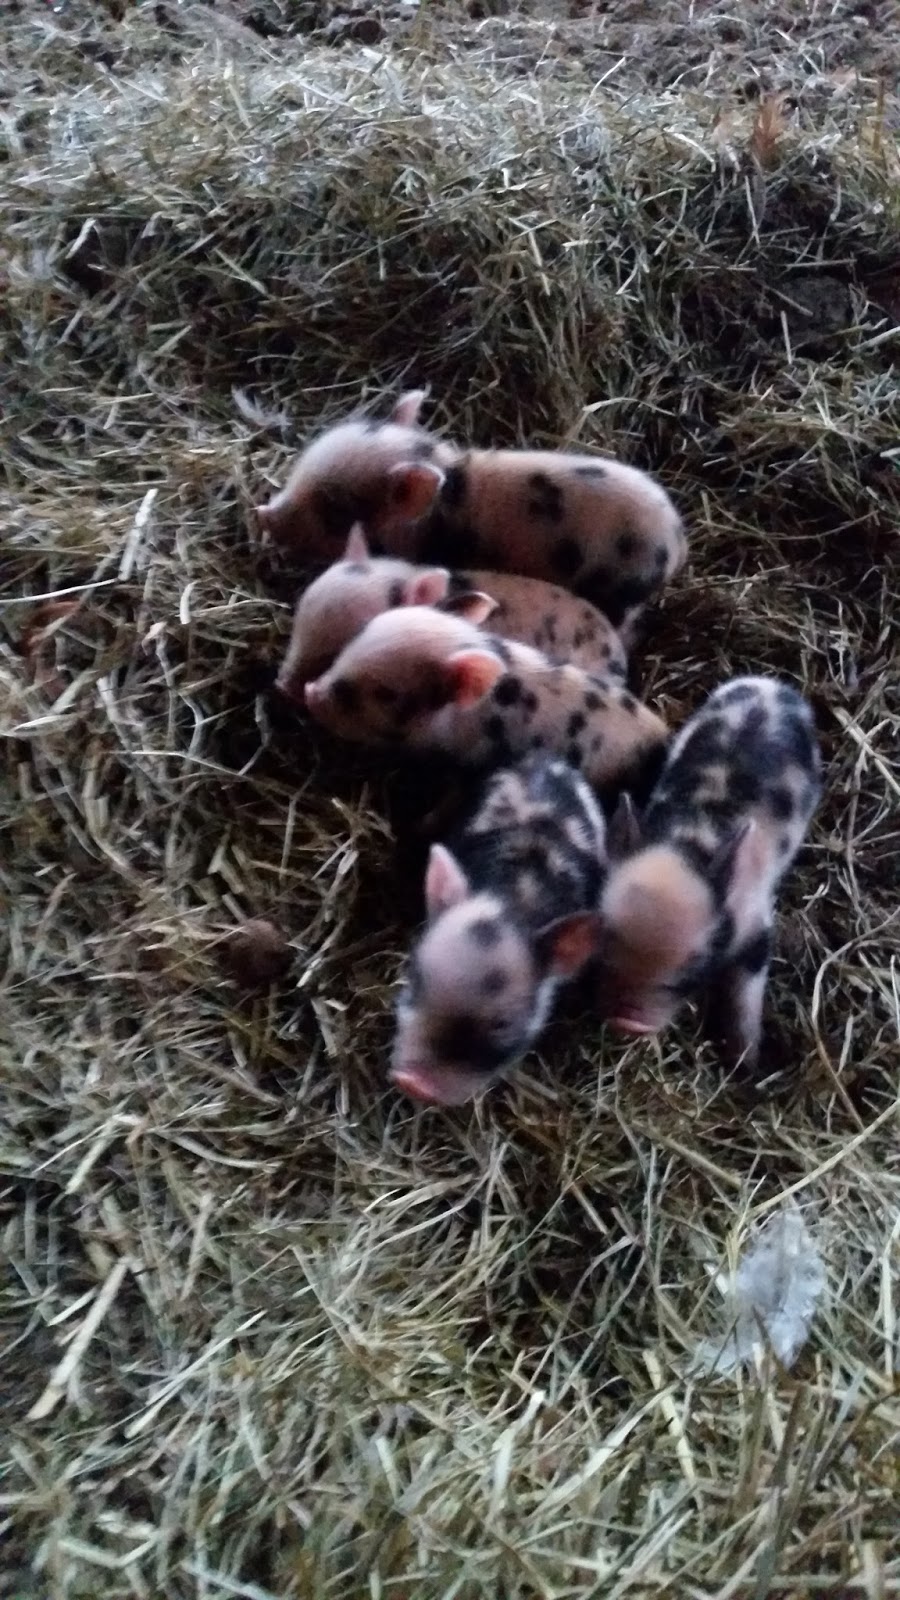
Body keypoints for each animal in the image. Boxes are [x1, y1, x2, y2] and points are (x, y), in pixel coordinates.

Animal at [592, 676, 822, 1069]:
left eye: (691, 970)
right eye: (605, 953)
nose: (628, 1023)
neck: (684, 844)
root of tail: (769, 684)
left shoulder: (757, 924)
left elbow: (745, 995)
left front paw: (747, 1062)